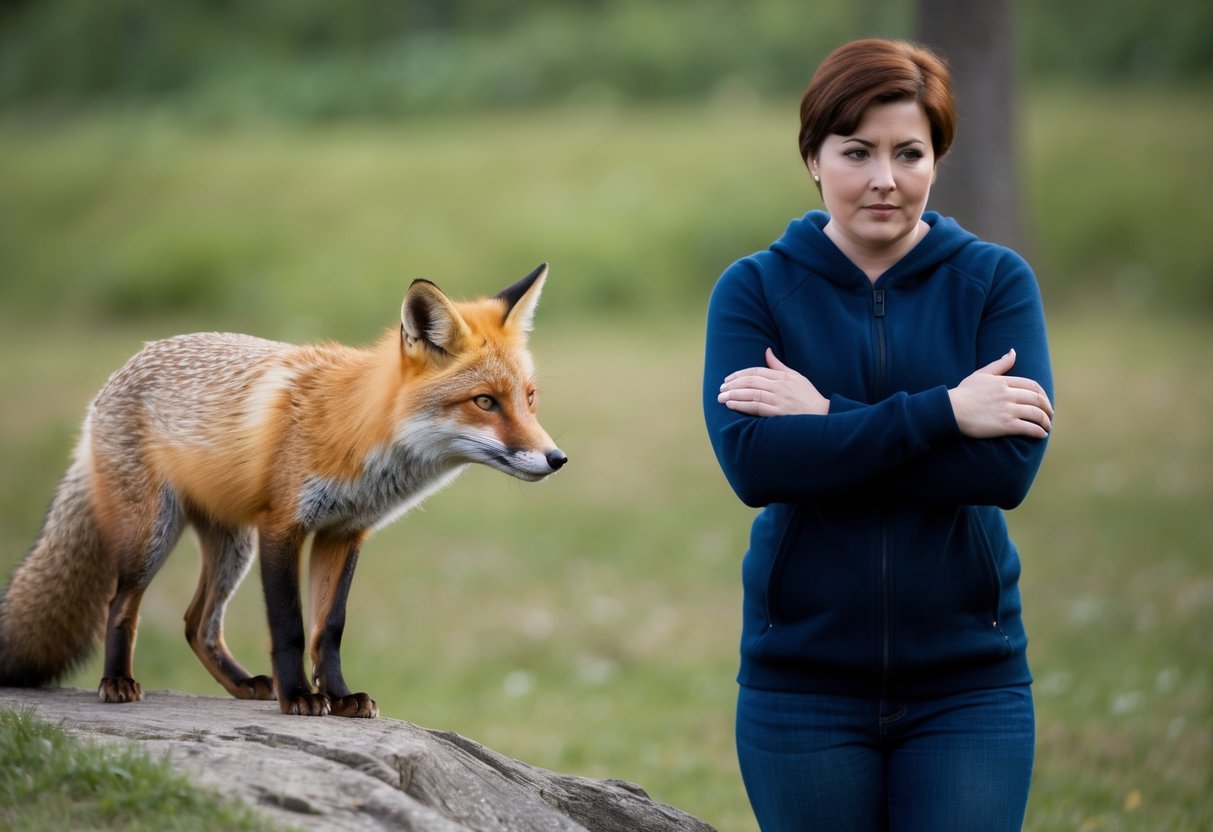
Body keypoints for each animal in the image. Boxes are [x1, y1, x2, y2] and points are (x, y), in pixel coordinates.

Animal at [0, 263, 566, 718]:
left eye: (530, 398)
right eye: (485, 401)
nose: (557, 459)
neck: (362, 434)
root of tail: (119, 372)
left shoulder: (344, 533)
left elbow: (328, 629)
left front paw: (340, 697)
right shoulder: (282, 528)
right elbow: (291, 627)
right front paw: (299, 697)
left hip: (231, 546)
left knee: (196, 622)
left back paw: (243, 685)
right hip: (153, 537)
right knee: (121, 606)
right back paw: (117, 681)